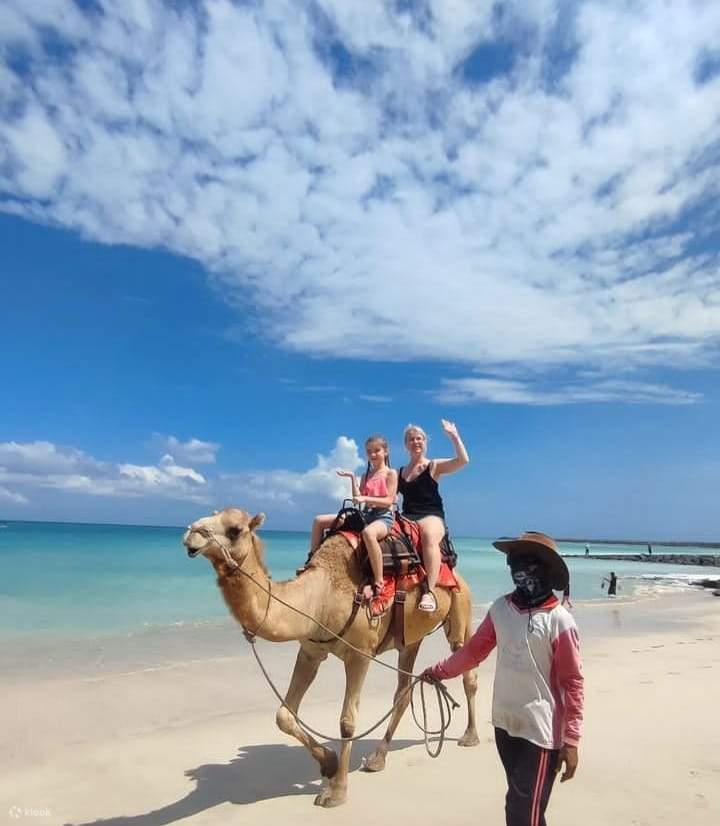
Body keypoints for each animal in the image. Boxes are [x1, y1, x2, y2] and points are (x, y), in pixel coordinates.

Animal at [182, 507, 479, 808]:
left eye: (235, 530)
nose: (191, 534)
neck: (321, 594)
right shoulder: (311, 650)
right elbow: (284, 715)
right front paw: (329, 763)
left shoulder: (360, 653)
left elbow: (347, 722)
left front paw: (336, 792)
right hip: (410, 639)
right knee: (404, 691)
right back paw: (377, 758)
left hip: (460, 608)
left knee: (467, 669)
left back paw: (469, 736)